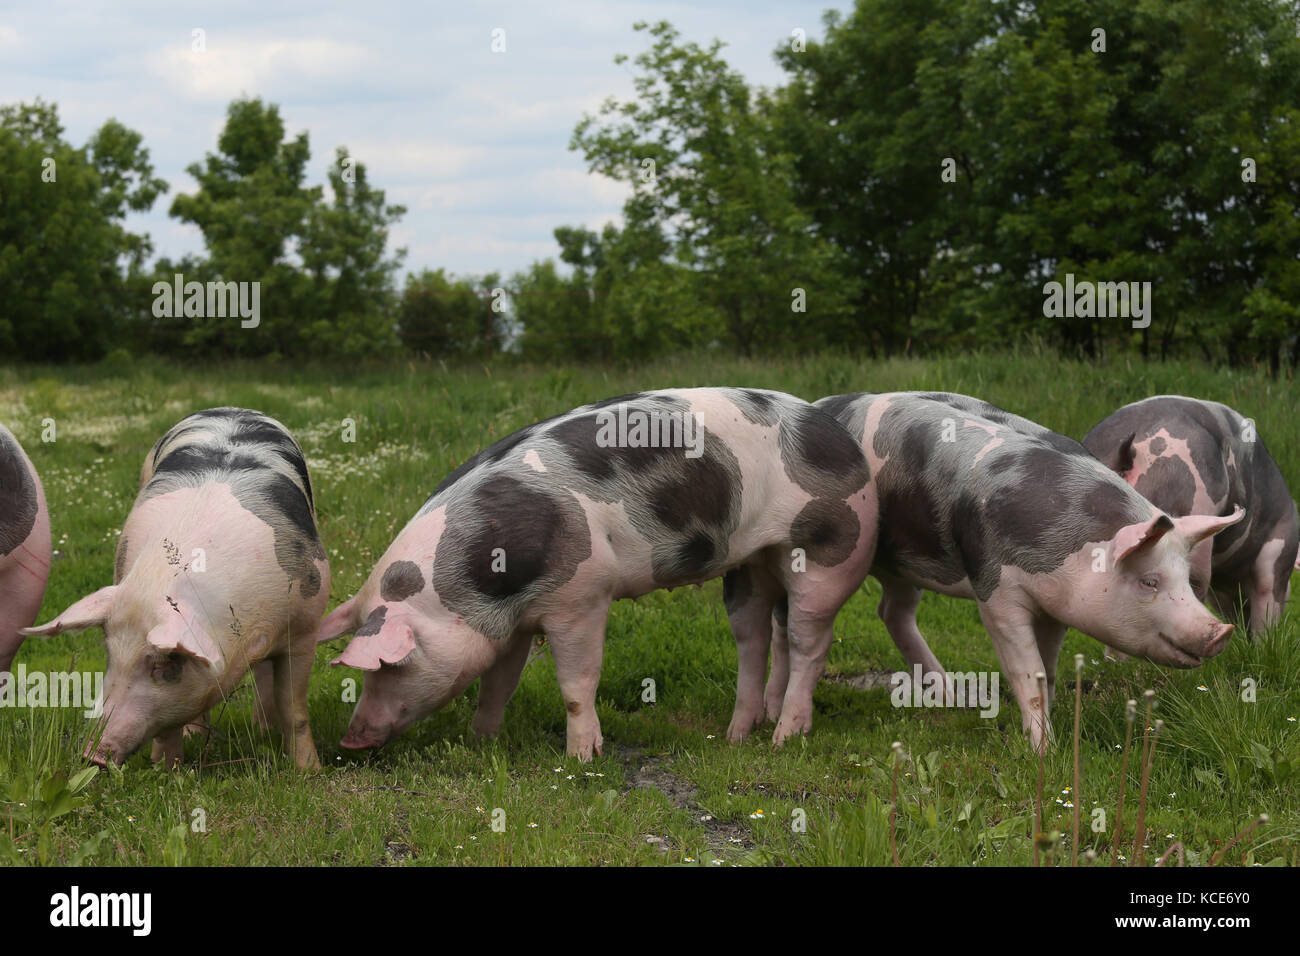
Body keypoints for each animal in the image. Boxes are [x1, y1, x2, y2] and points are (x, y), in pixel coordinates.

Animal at [23, 408, 329, 769]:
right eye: (110, 654)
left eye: (164, 663)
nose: (93, 755)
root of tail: (231, 409)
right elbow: (170, 724)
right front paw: (166, 769)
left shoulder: (306, 625)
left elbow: (294, 708)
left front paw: (308, 772)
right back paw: (201, 735)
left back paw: (262, 730)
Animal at [318, 388, 876, 759]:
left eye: (391, 666)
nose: (350, 737)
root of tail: (838, 432)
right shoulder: (512, 622)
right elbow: (498, 683)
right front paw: (482, 741)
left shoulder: (583, 594)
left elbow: (577, 681)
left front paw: (583, 758)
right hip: (751, 564)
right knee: (756, 640)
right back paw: (737, 736)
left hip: (830, 549)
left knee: (809, 644)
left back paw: (785, 738)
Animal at [763, 391, 1242, 752]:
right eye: (1149, 581)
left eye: (1187, 581)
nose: (1221, 632)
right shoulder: (996, 590)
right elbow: (1025, 670)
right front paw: (1043, 752)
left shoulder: (1057, 605)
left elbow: (1049, 669)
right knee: (784, 621)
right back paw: (775, 720)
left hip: (907, 559)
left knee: (891, 612)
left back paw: (951, 698)